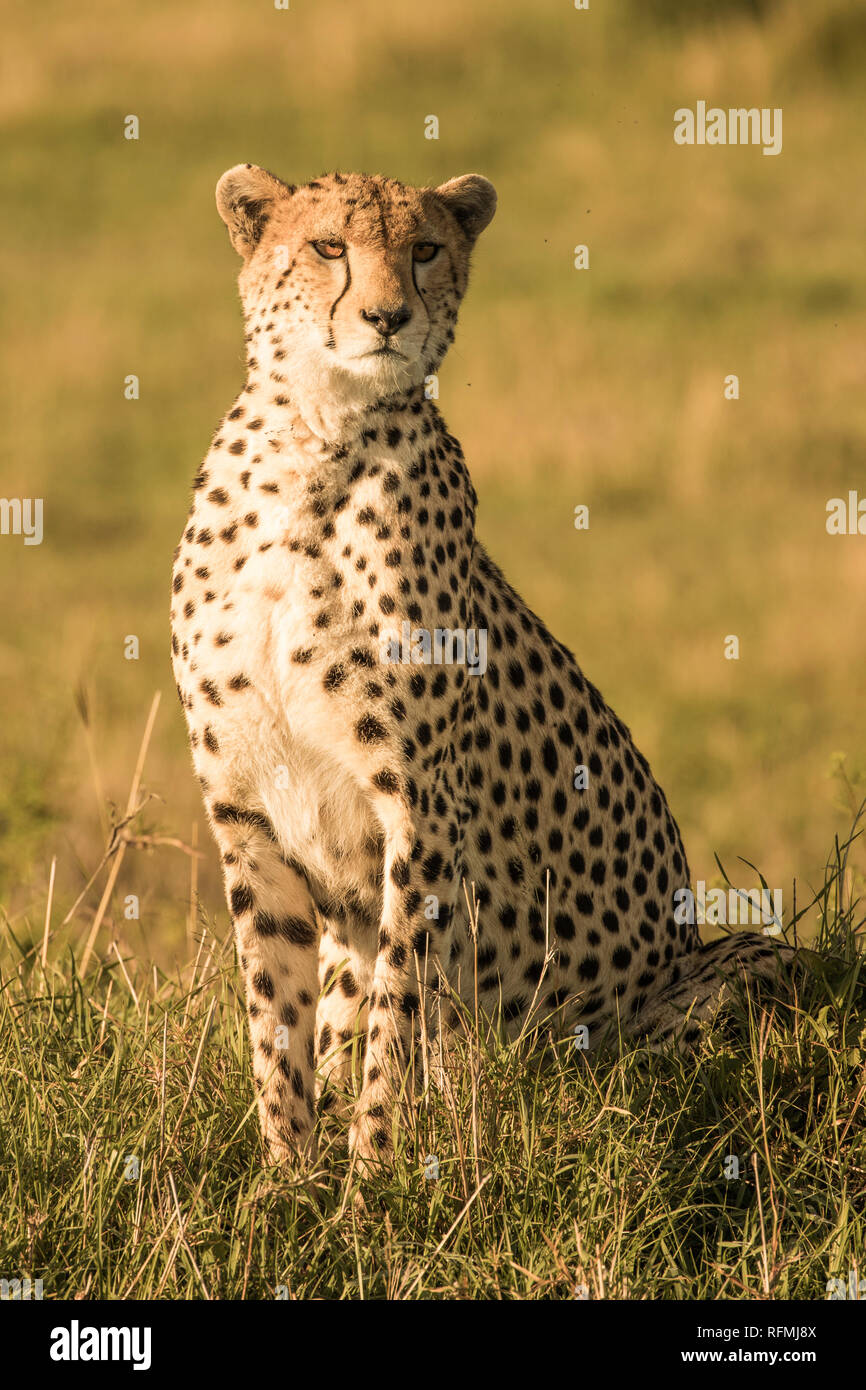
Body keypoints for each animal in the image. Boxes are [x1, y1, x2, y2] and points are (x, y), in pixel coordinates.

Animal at [170, 159, 795, 1162]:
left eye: (424, 249)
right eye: (328, 246)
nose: (388, 316)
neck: (314, 443)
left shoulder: (419, 806)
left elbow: (397, 1014)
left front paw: (373, 1181)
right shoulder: (245, 810)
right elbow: (278, 1023)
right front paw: (286, 1182)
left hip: (734, 972)